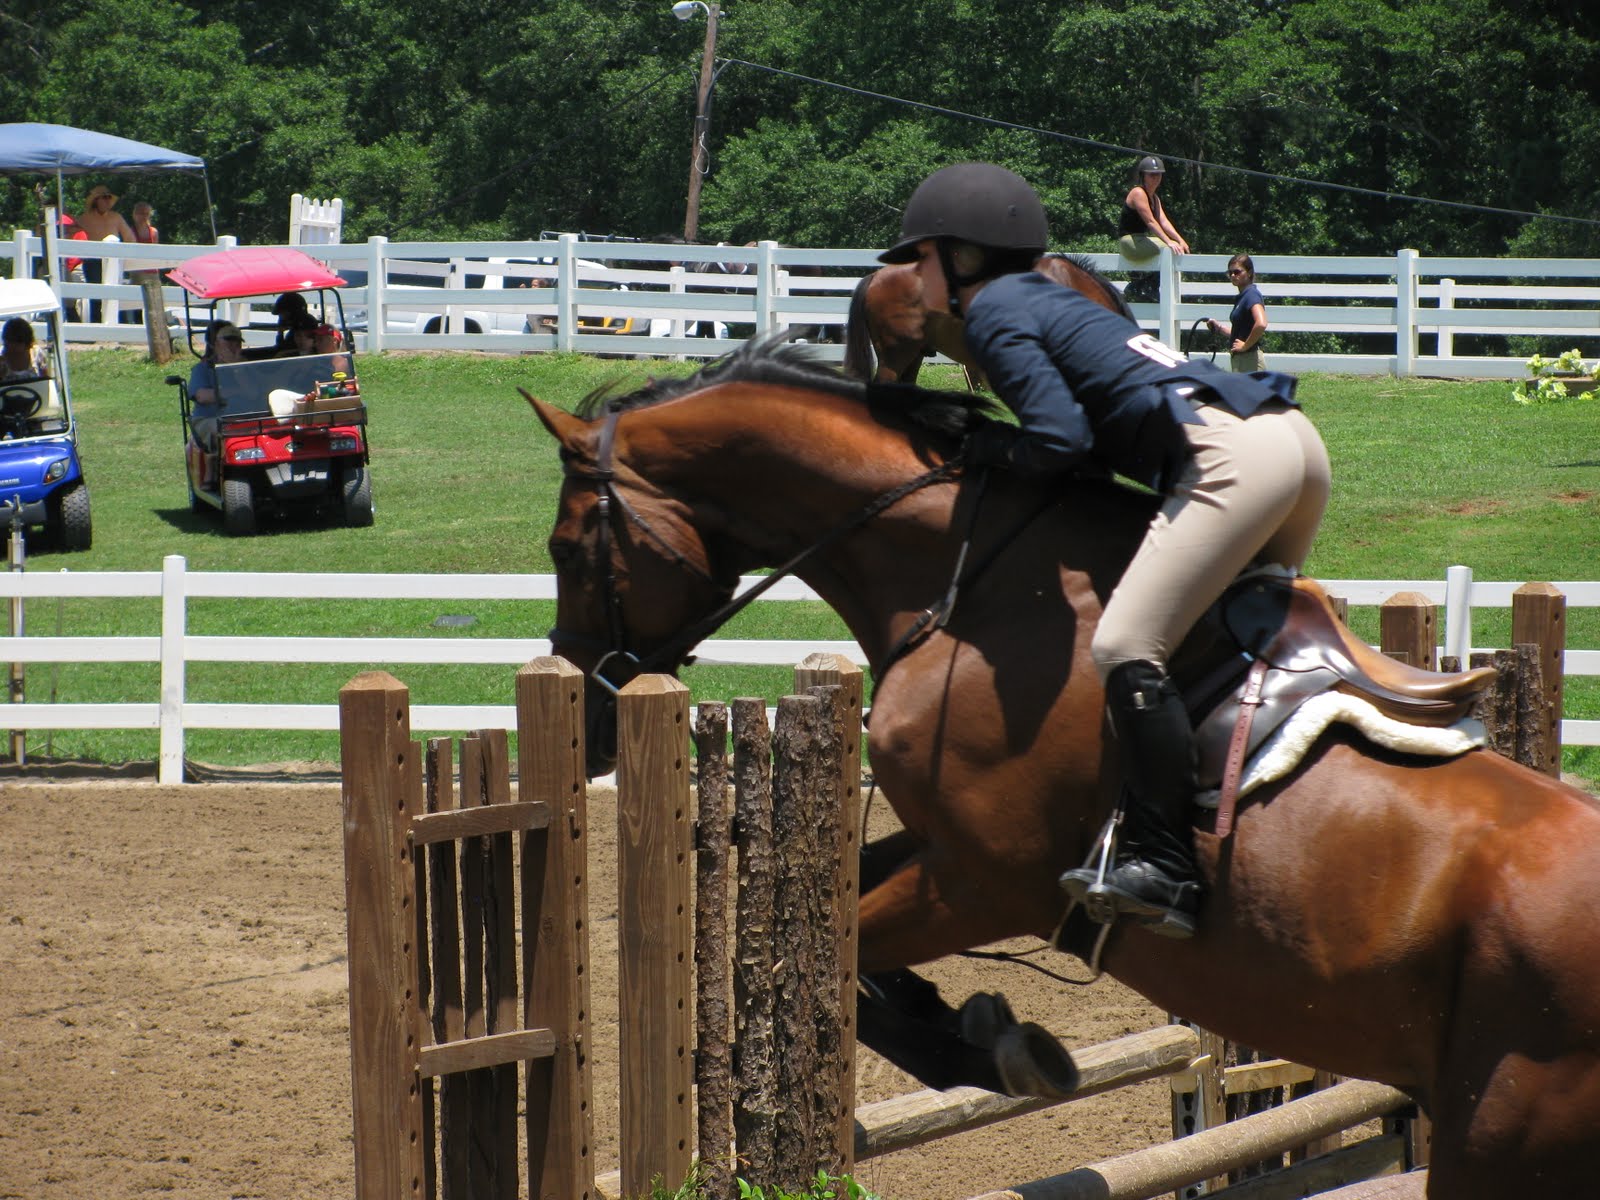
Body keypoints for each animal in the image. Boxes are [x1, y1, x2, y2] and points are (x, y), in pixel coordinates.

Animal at [525, 343, 1600, 1199]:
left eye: (566, 545)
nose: (592, 716)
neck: (973, 585)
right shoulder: (941, 849)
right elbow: (845, 933)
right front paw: (965, 1027)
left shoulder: (985, 882)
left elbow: (844, 957)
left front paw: (991, 1049)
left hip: (1505, 1138)